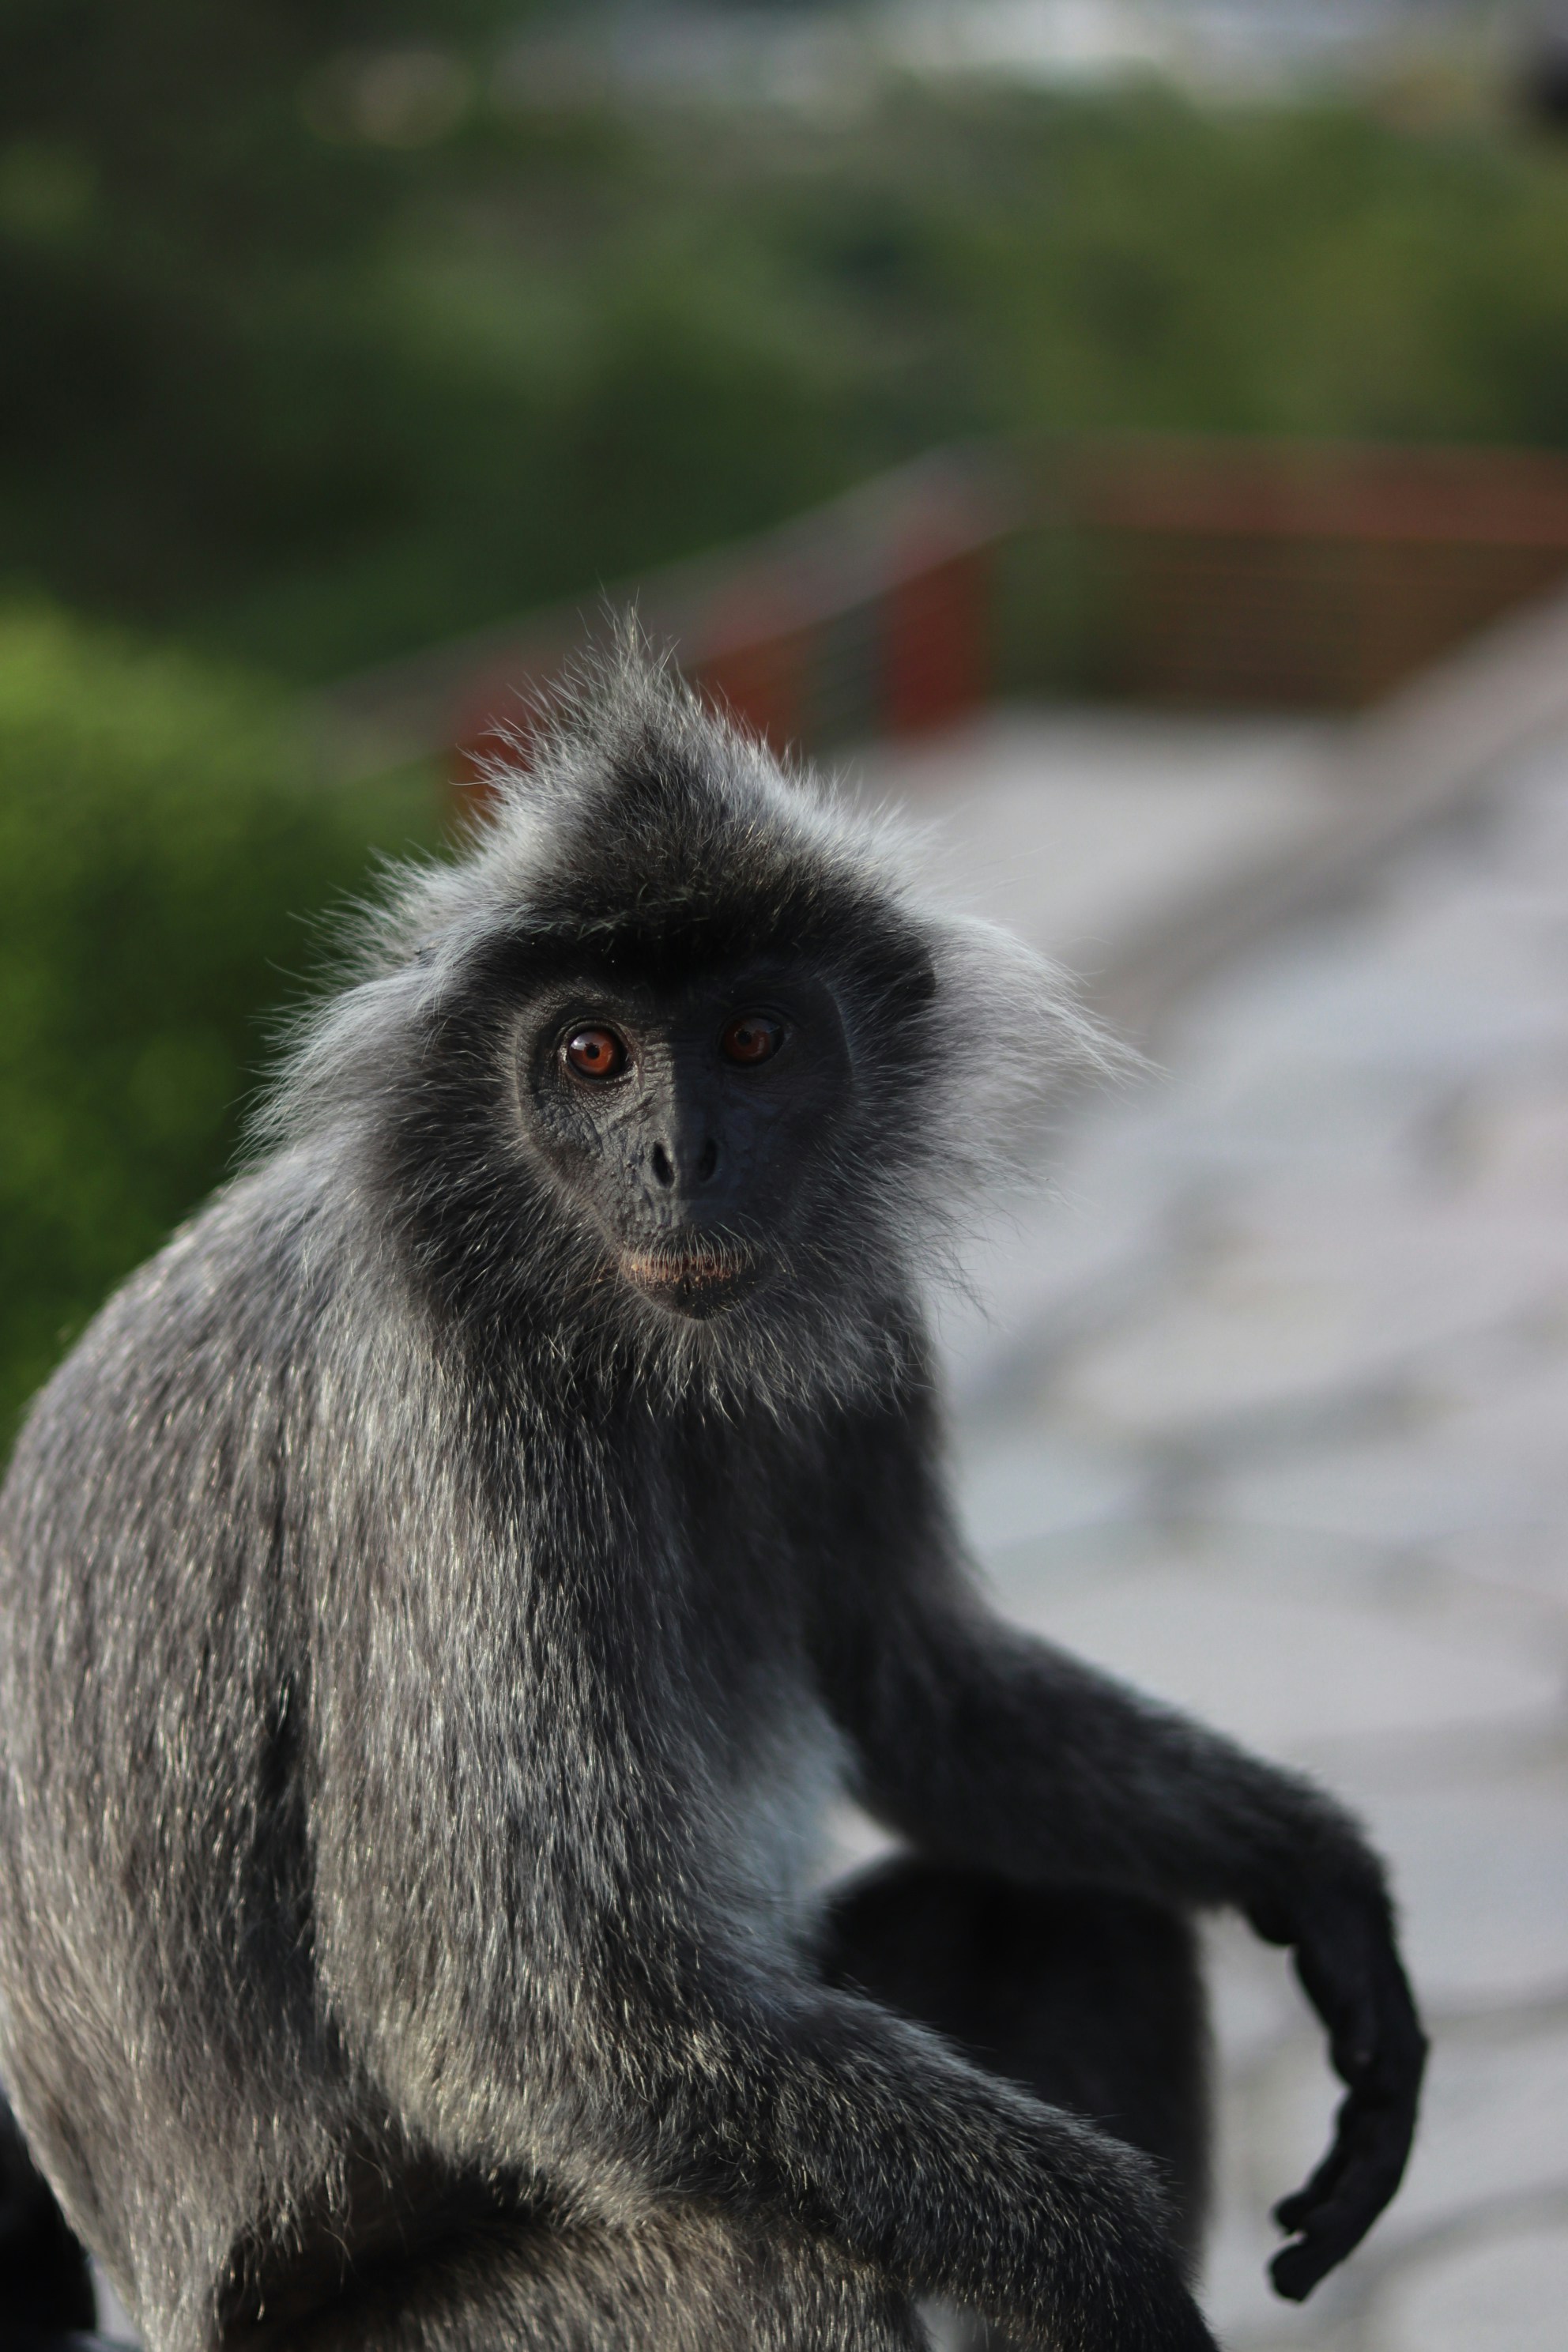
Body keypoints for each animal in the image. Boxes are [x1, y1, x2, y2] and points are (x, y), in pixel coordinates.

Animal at [0, 645, 1425, 2352]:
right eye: (591, 1057)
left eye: (752, 1042)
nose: (682, 1157)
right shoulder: (428, 1420)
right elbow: (516, 2012)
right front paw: (1115, 2269)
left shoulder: (858, 1326)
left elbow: (910, 1691)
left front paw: (1312, 1873)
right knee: (767, 2256)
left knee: (1074, 1919)